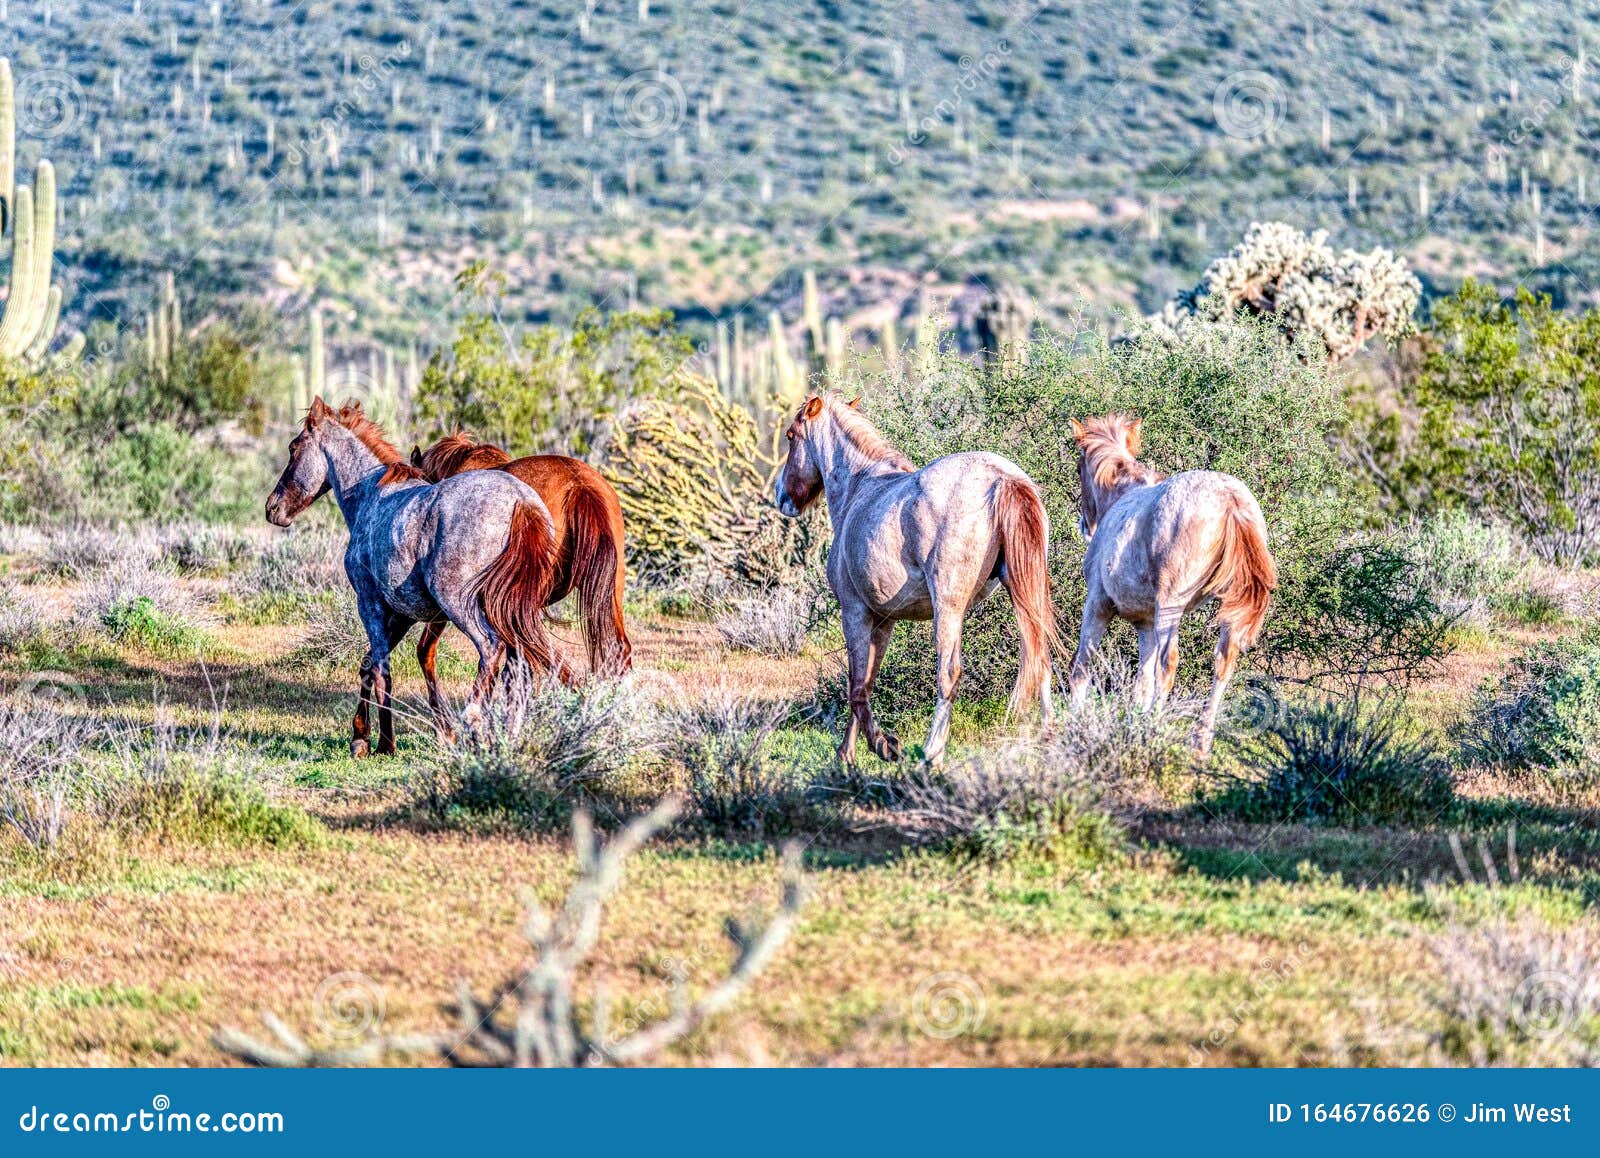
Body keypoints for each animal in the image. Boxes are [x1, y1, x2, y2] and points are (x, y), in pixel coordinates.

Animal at [266, 397, 567, 756]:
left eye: (293, 448)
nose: (272, 508)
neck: (373, 496)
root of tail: (520, 502)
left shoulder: (370, 604)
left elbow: (381, 671)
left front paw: (384, 743)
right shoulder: (403, 614)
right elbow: (368, 663)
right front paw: (360, 736)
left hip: (464, 607)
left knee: (491, 650)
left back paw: (474, 725)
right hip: (514, 612)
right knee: (519, 665)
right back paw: (508, 734)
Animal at [775, 393, 1060, 767]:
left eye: (791, 436)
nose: (782, 497)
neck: (859, 488)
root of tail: (1002, 478)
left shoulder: (854, 612)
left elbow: (855, 686)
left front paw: (882, 745)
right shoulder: (884, 620)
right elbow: (867, 683)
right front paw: (848, 752)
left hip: (949, 608)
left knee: (949, 673)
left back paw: (932, 753)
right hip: (1025, 591)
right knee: (1040, 657)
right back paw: (1050, 738)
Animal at [1066, 414, 1277, 754]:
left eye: (1077, 467)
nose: (1085, 525)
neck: (1123, 497)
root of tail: (1229, 499)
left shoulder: (1097, 604)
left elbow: (1082, 667)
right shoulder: (1145, 623)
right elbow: (1142, 682)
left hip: (1171, 604)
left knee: (1169, 663)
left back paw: (1156, 730)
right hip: (1226, 608)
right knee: (1223, 661)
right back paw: (1200, 742)